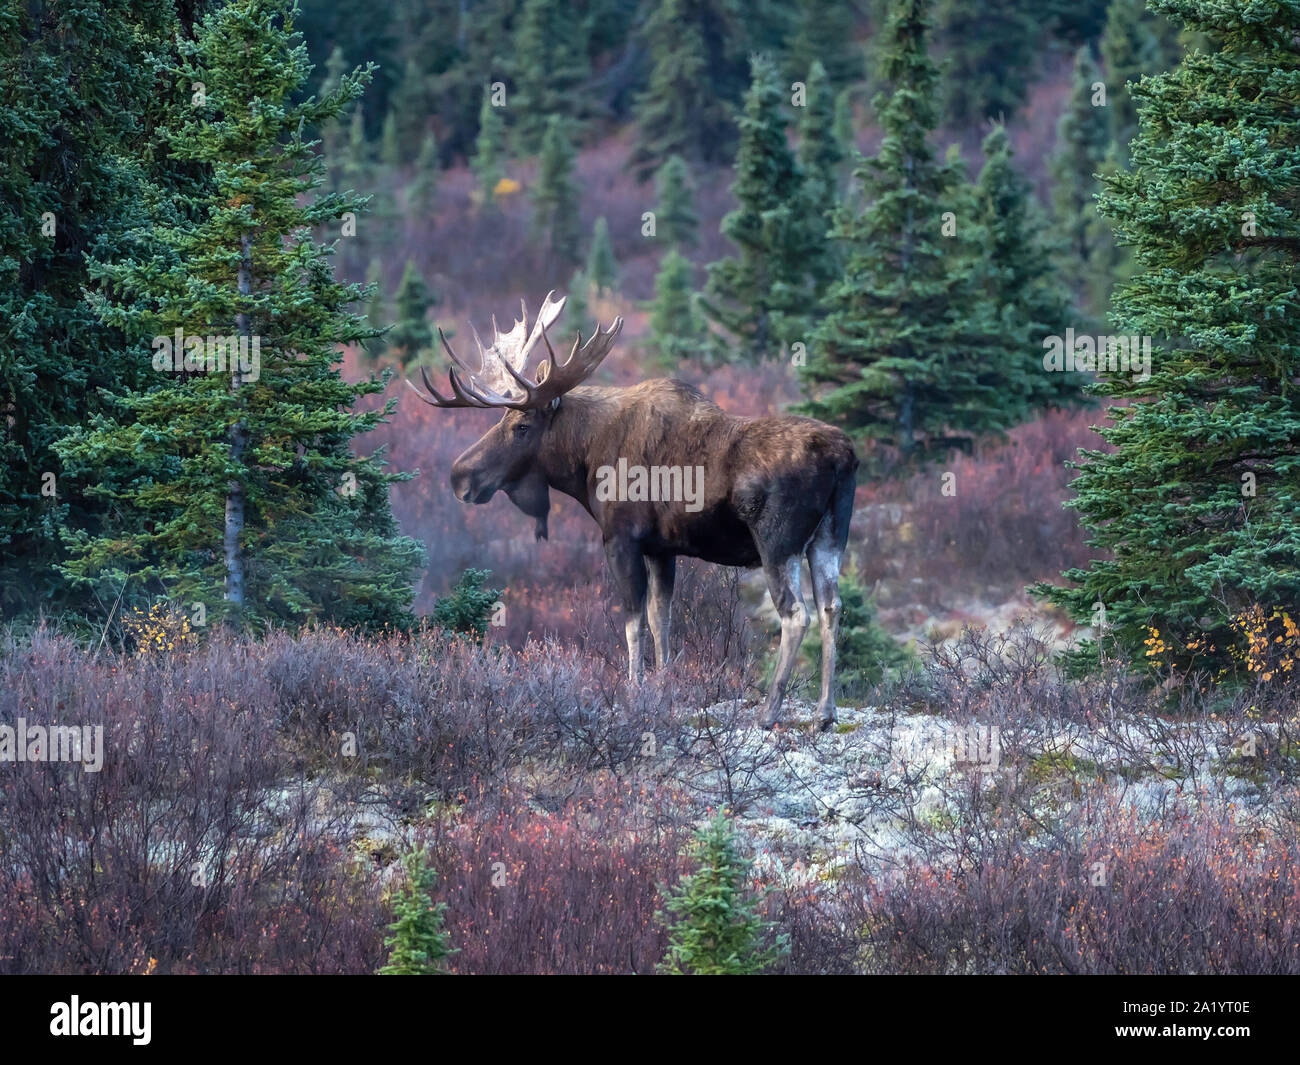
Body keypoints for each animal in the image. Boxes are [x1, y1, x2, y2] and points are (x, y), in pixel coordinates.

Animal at [408, 292, 859, 730]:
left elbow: (633, 621)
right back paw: (826, 711)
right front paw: (663, 685)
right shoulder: (662, 548)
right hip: (830, 536)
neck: (585, 460)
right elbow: (662, 618)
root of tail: (842, 457)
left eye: (521, 427)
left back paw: (770, 710)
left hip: (778, 542)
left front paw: (634, 688)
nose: (460, 477)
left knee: (795, 614)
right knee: (832, 607)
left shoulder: (621, 538)